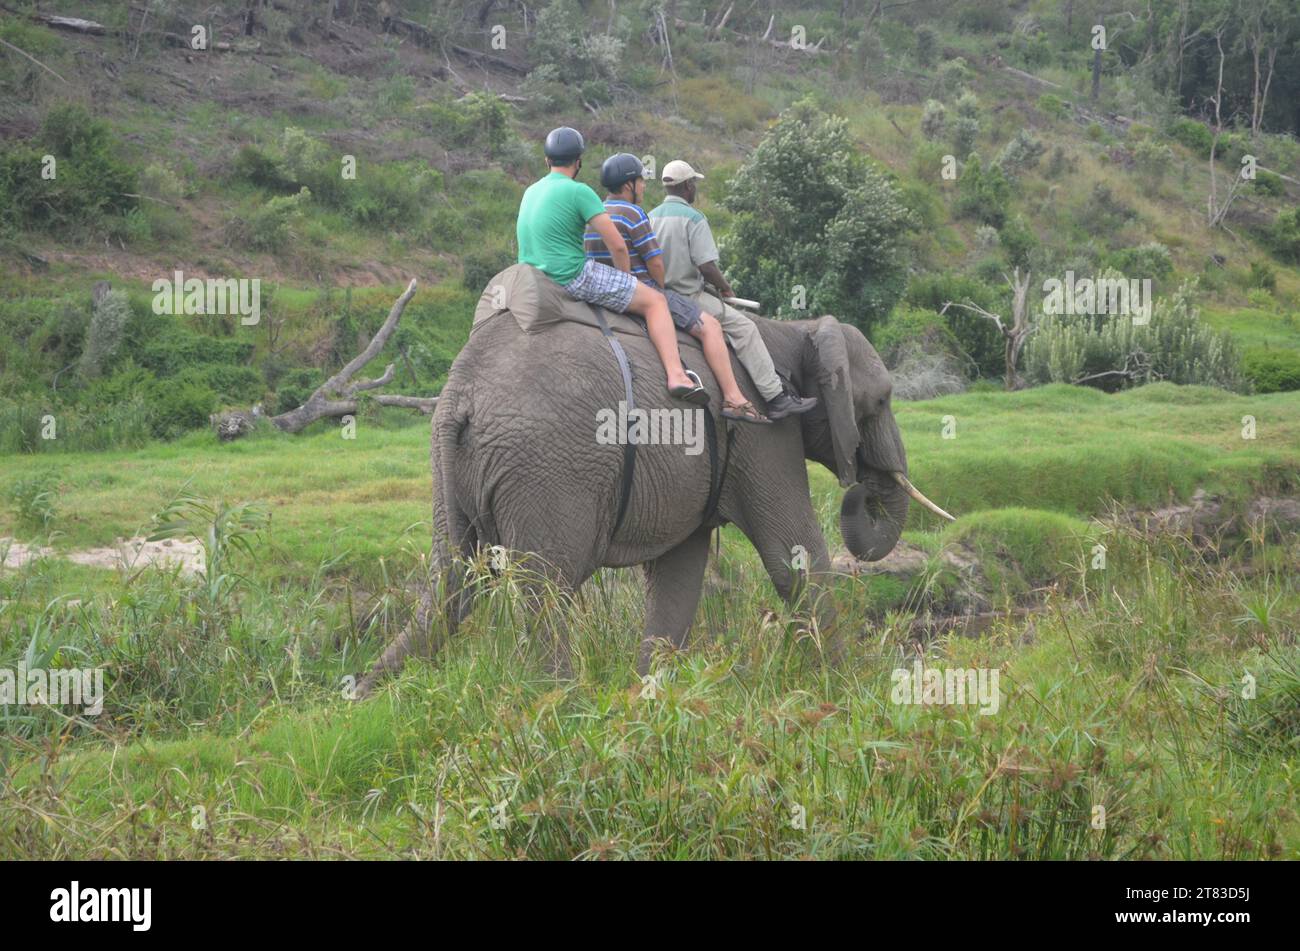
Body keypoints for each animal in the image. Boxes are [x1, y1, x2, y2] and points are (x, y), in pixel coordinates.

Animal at [357, 269, 951, 693]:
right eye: (883, 401)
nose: (862, 487)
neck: (793, 332)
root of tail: (464, 393)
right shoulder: (764, 431)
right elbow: (794, 557)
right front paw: (851, 686)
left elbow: (678, 574)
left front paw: (648, 692)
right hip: (547, 468)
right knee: (544, 587)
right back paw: (560, 706)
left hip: (448, 460)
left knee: (453, 582)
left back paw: (362, 696)